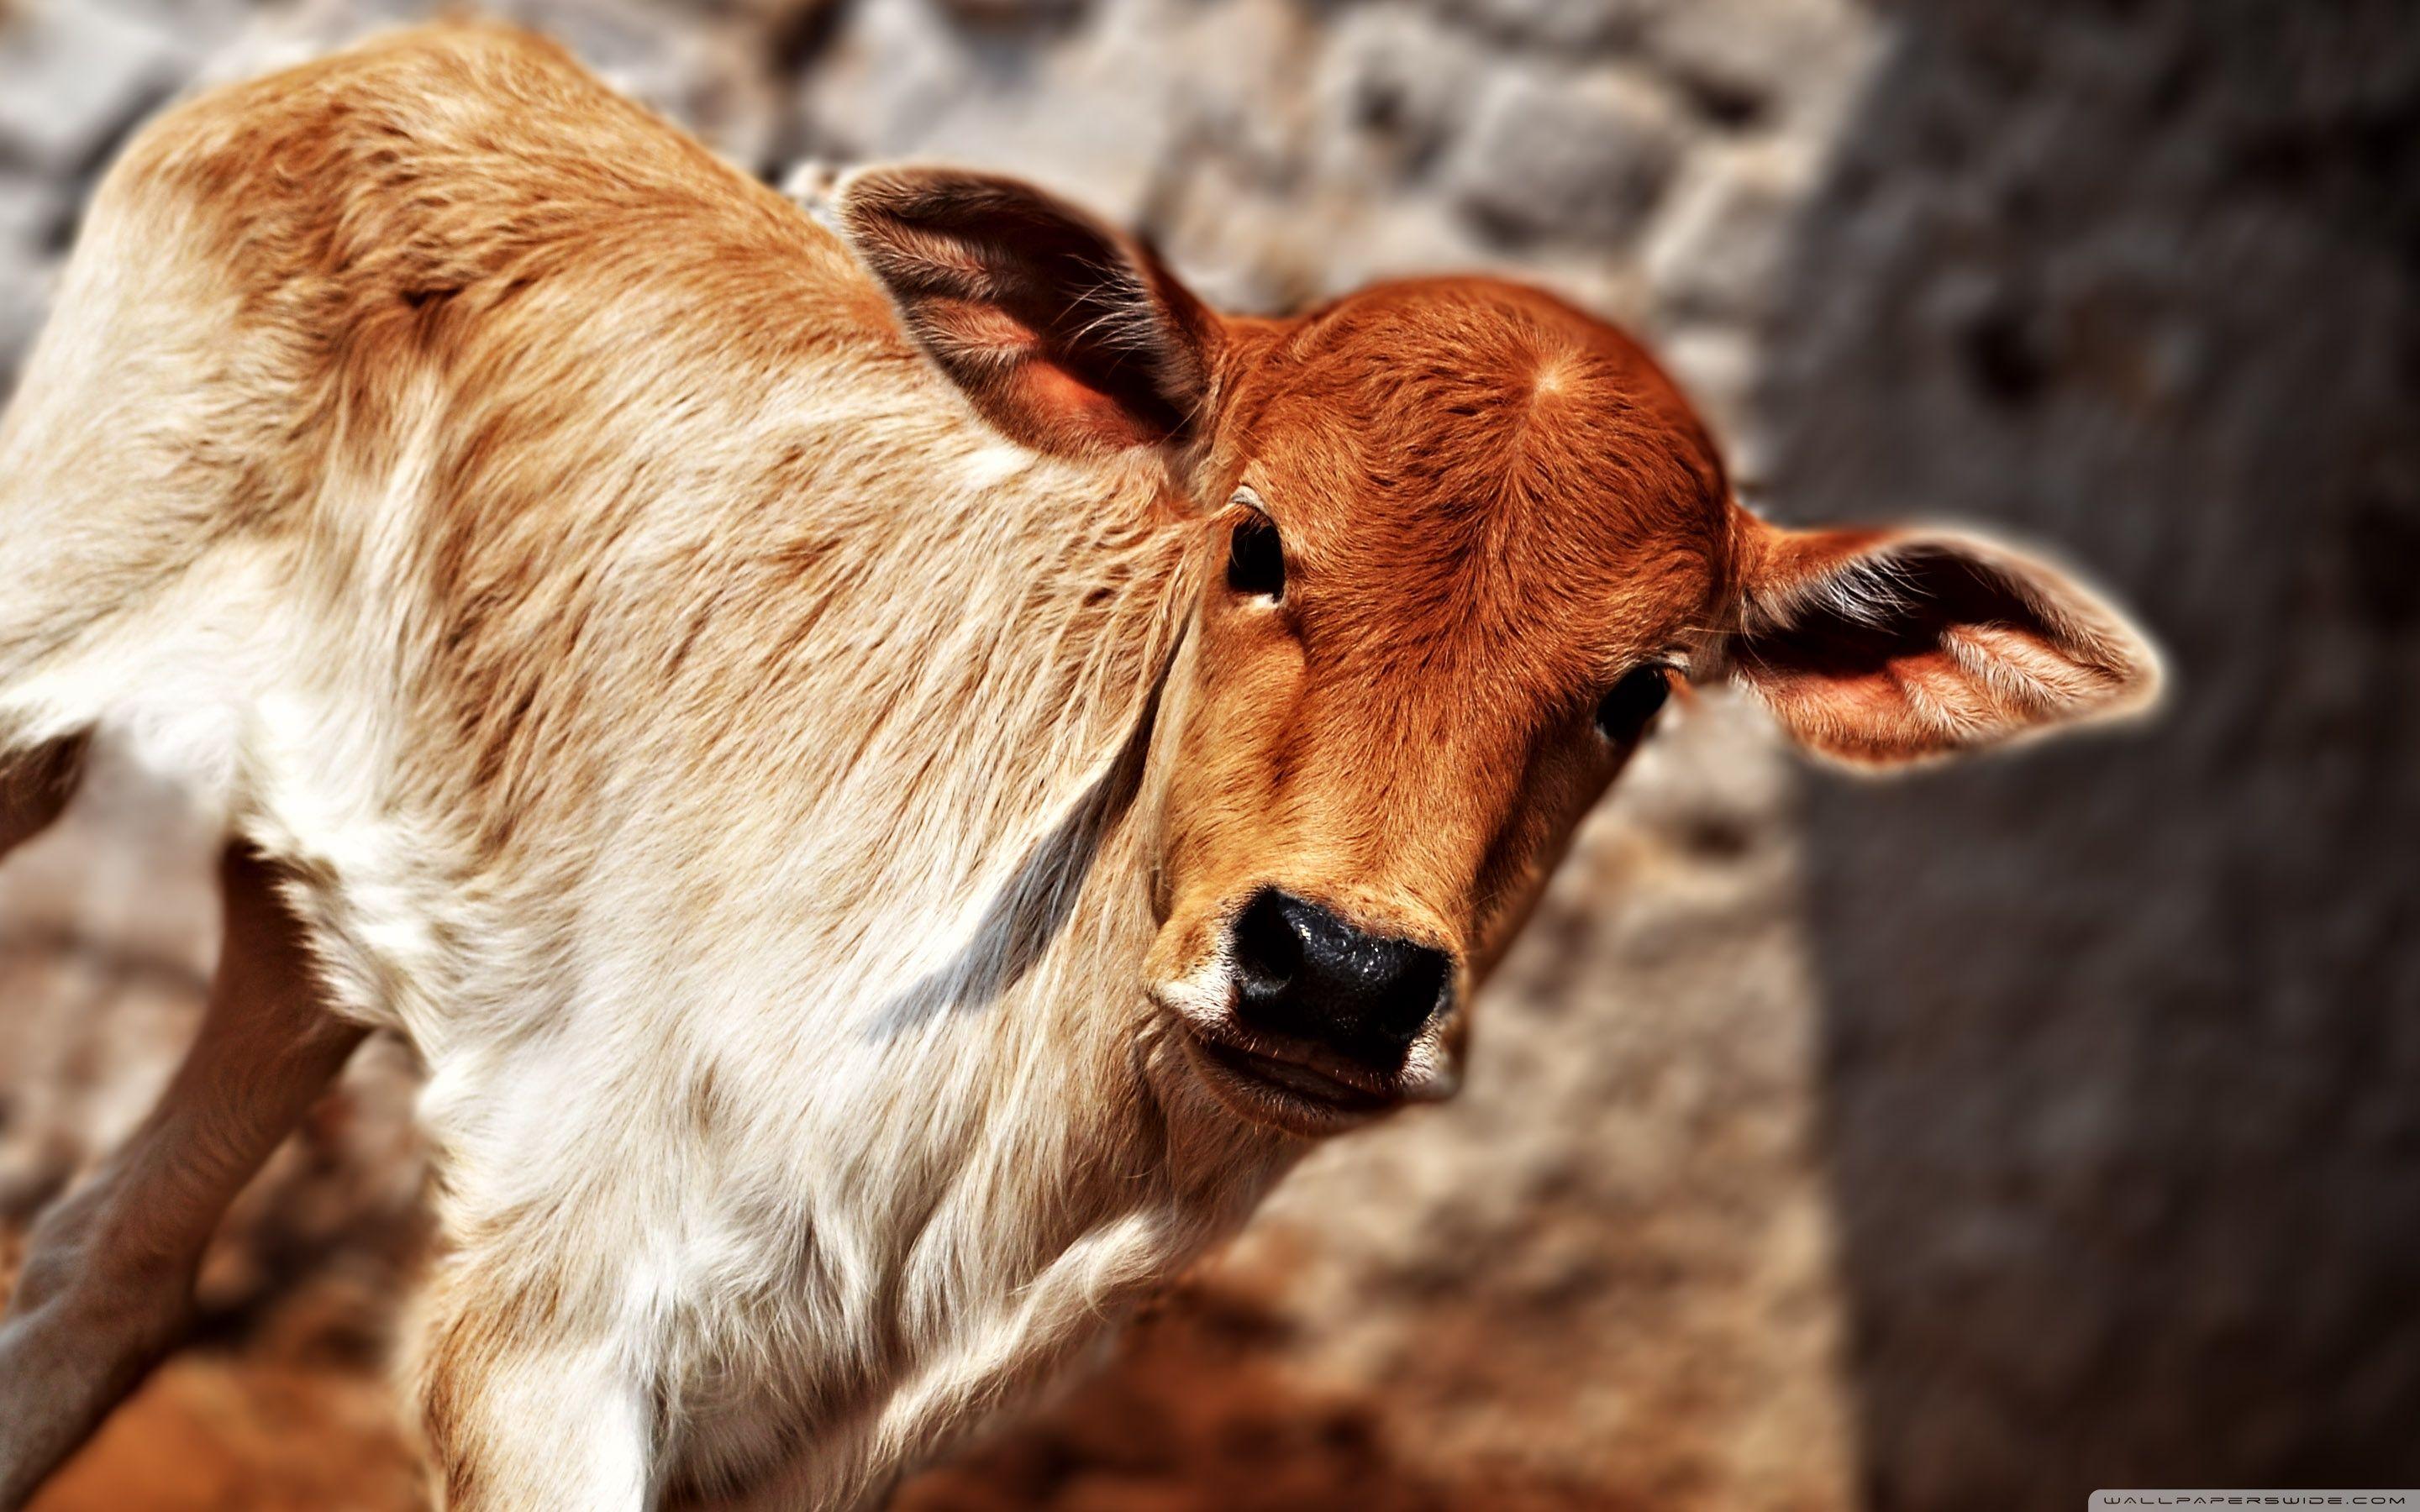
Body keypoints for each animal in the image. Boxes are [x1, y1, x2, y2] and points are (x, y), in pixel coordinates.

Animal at [0, 22, 2160, 1511]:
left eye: (1640, 688)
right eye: (1254, 542)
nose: (1338, 974)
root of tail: (408, 51)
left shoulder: (833, 1445)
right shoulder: (543, 1325)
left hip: (319, 915)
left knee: (110, 1263)